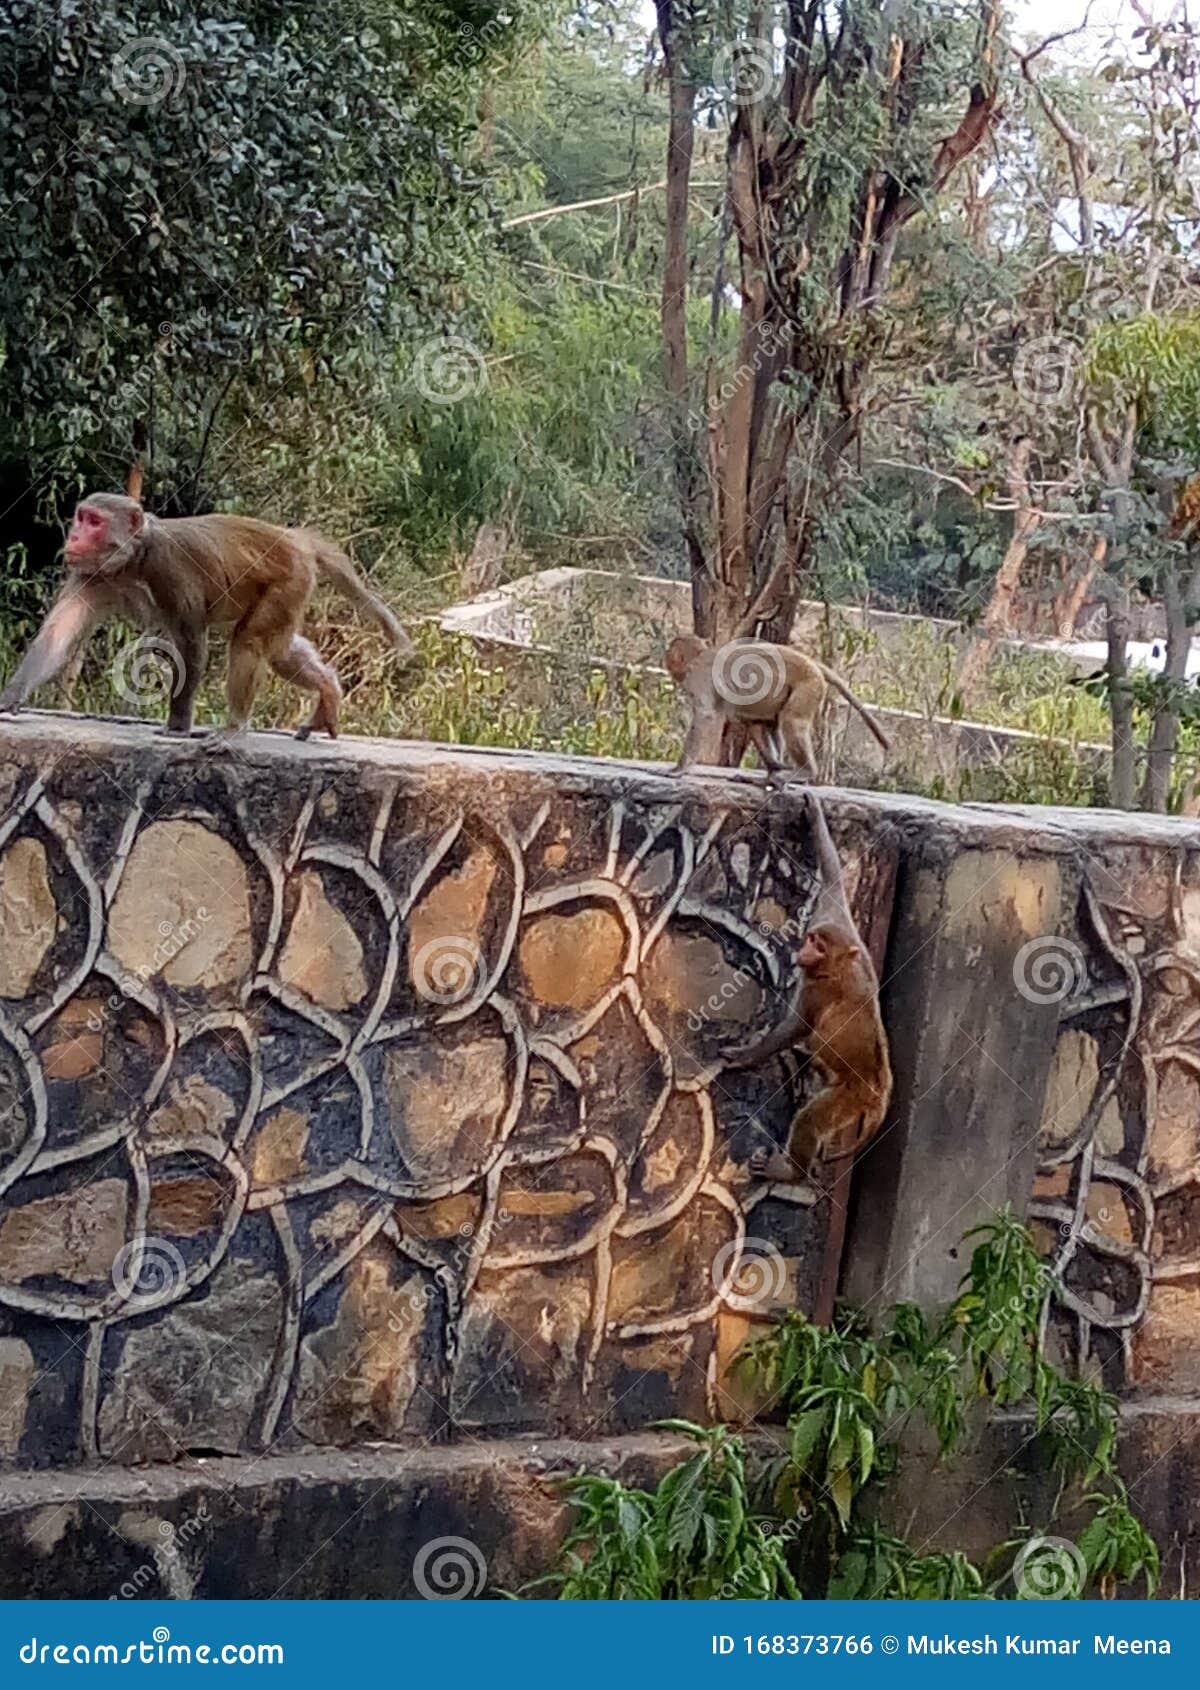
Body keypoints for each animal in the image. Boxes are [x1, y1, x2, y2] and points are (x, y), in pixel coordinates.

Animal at [0, 493, 415, 744]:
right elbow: (60, 632)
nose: (73, 537)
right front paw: (11, 696)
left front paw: (177, 725)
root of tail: (295, 539)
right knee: (280, 652)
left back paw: (234, 727)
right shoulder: (93, 573)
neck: (134, 558)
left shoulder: (169, 567)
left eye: (95, 522)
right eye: (81, 518)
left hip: (289, 579)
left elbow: (190, 640)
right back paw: (328, 689)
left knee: (249, 641)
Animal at [664, 634, 890, 780]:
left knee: (792, 721)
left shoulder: (698, 676)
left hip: (809, 686)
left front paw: (679, 769)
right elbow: (754, 723)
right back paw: (777, 769)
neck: (699, 655)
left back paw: (806, 773)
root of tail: (813, 664)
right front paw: (774, 765)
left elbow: (705, 716)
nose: (666, 655)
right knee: (772, 722)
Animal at [727, 788, 892, 1186]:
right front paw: (814, 813)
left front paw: (746, 1055)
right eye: (813, 939)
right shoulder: (835, 917)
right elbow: (833, 878)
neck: (837, 966)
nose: (803, 950)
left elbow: (797, 1025)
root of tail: (880, 1092)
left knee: (811, 1120)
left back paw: (791, 1172)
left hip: (851, 1095)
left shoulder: (818, 987)